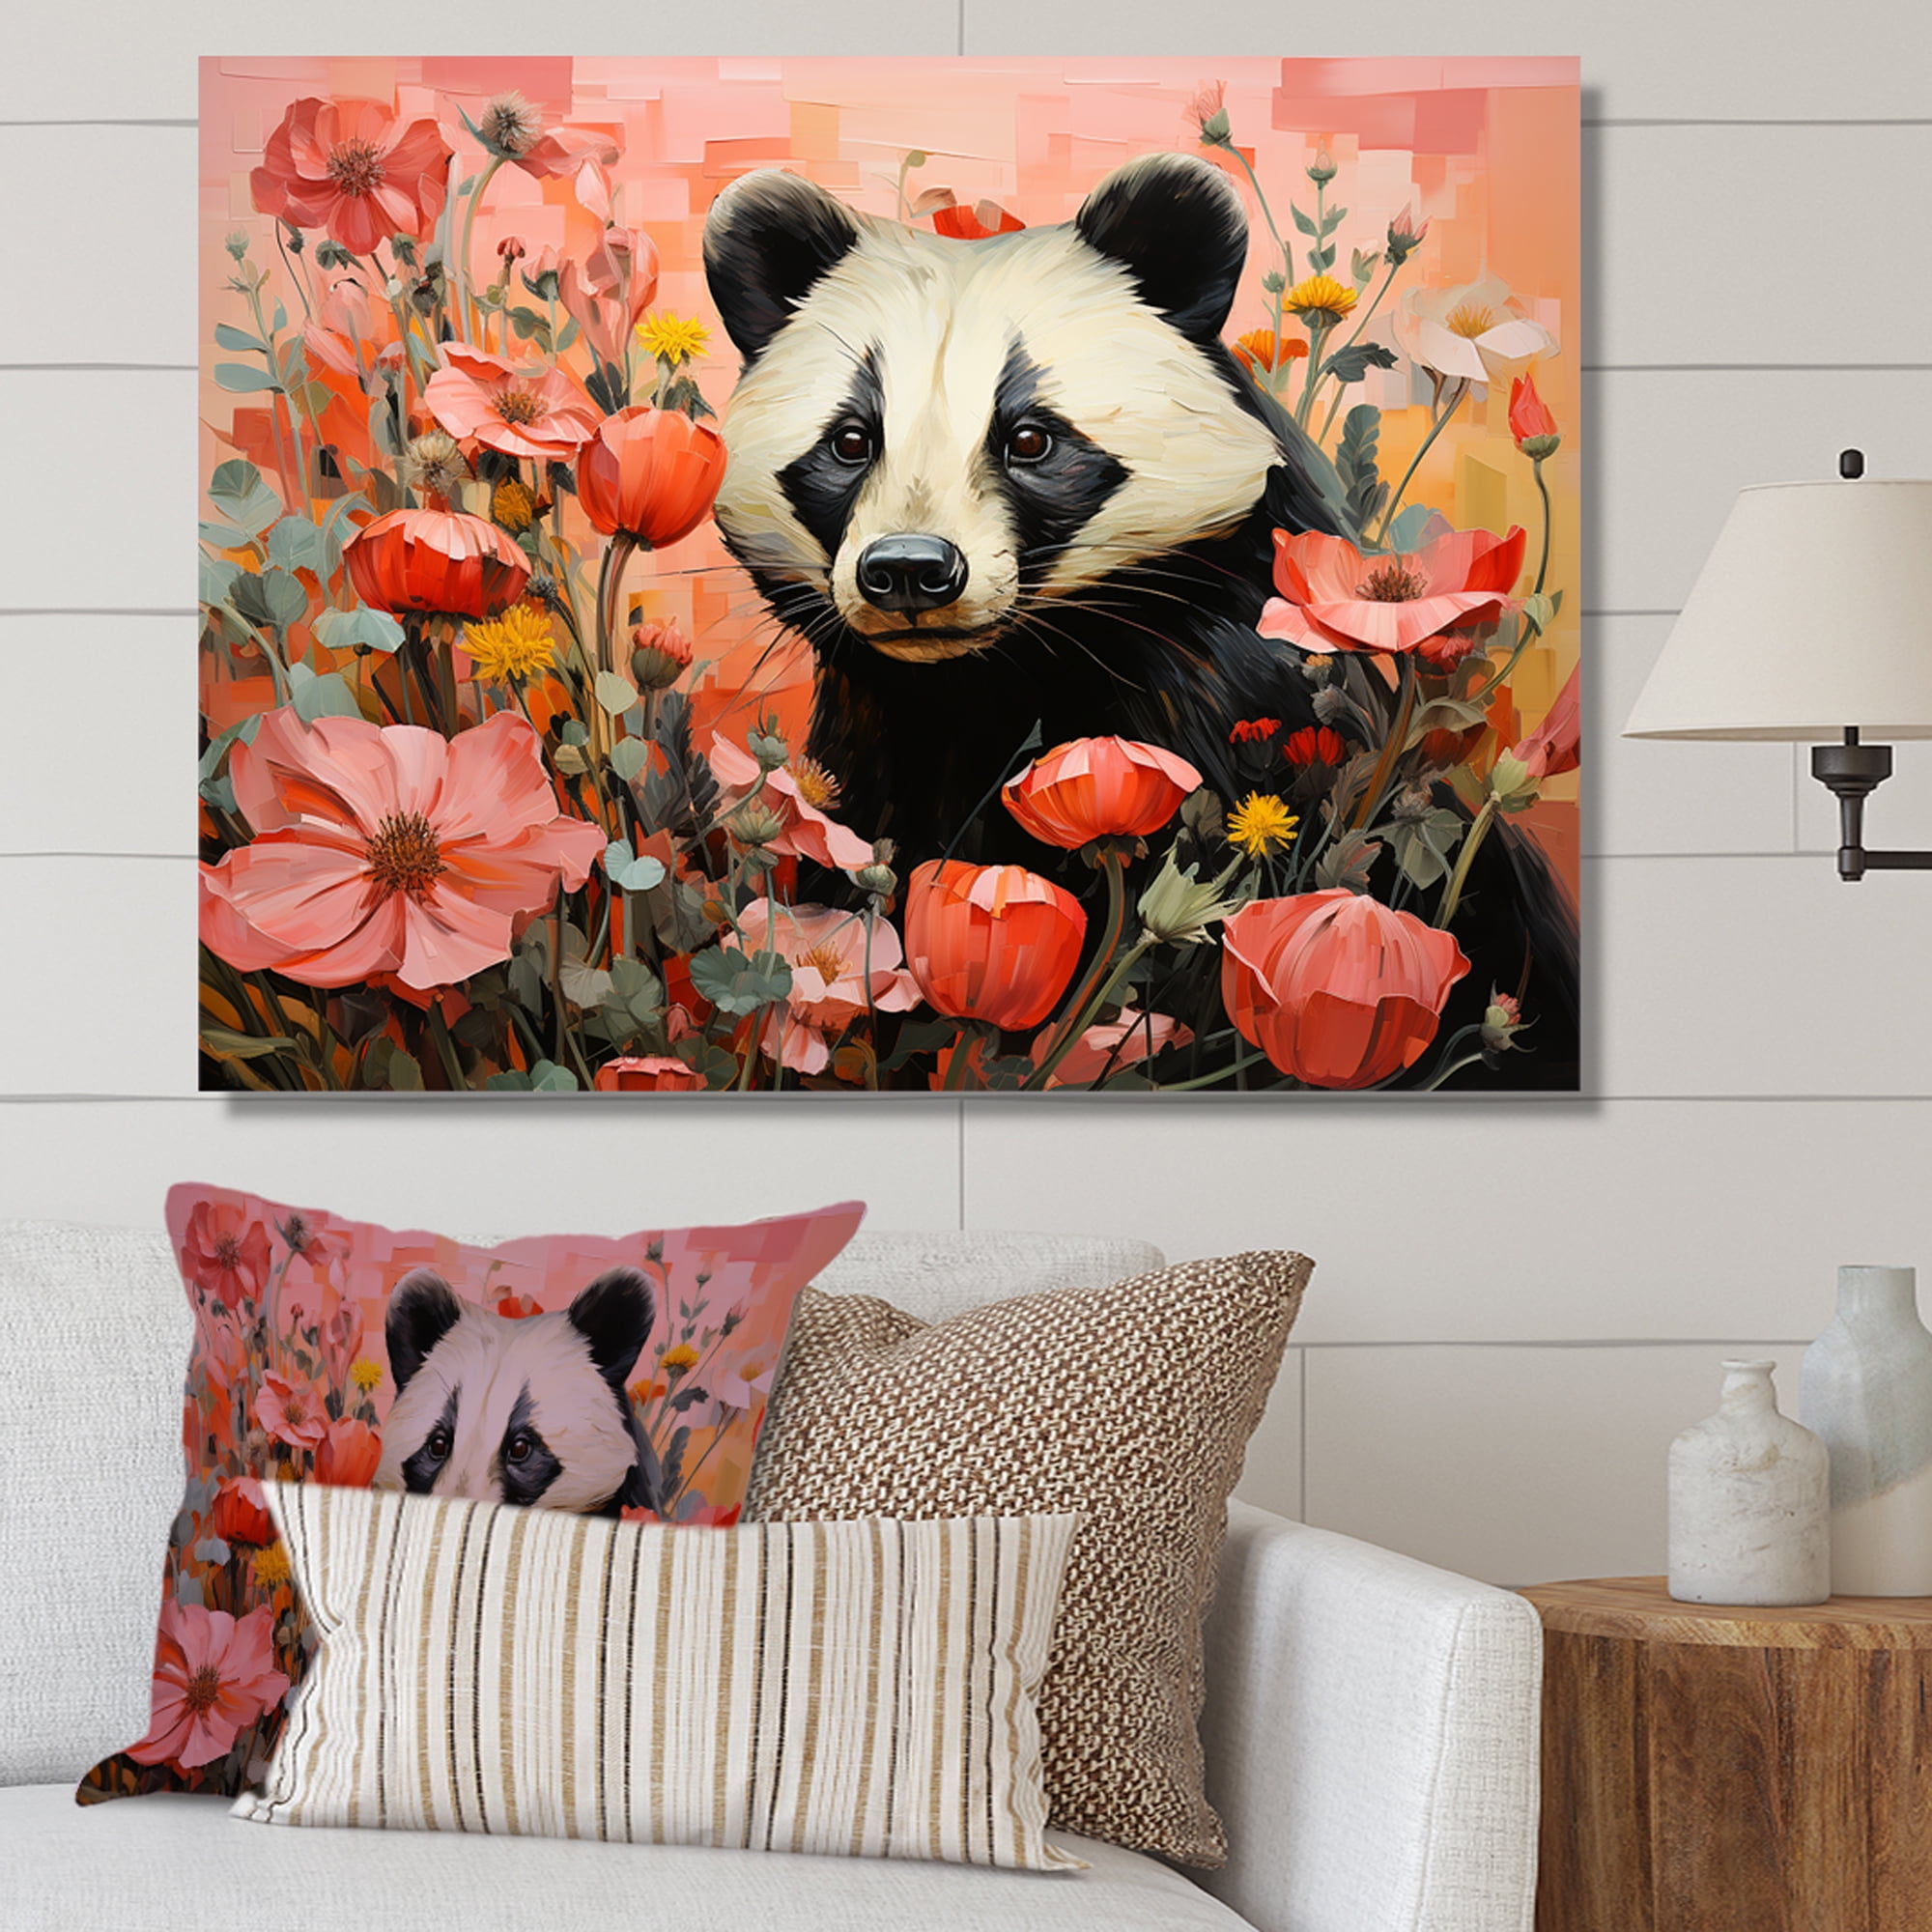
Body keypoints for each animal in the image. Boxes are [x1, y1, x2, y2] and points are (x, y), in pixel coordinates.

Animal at [702, 150, 1579, 1086]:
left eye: (1031, 438)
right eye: (850, 441)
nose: (911, 570)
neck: (990, 683)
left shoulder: (1231, 706)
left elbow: (1204, 949)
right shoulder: (871, 752)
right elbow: (849, 882)